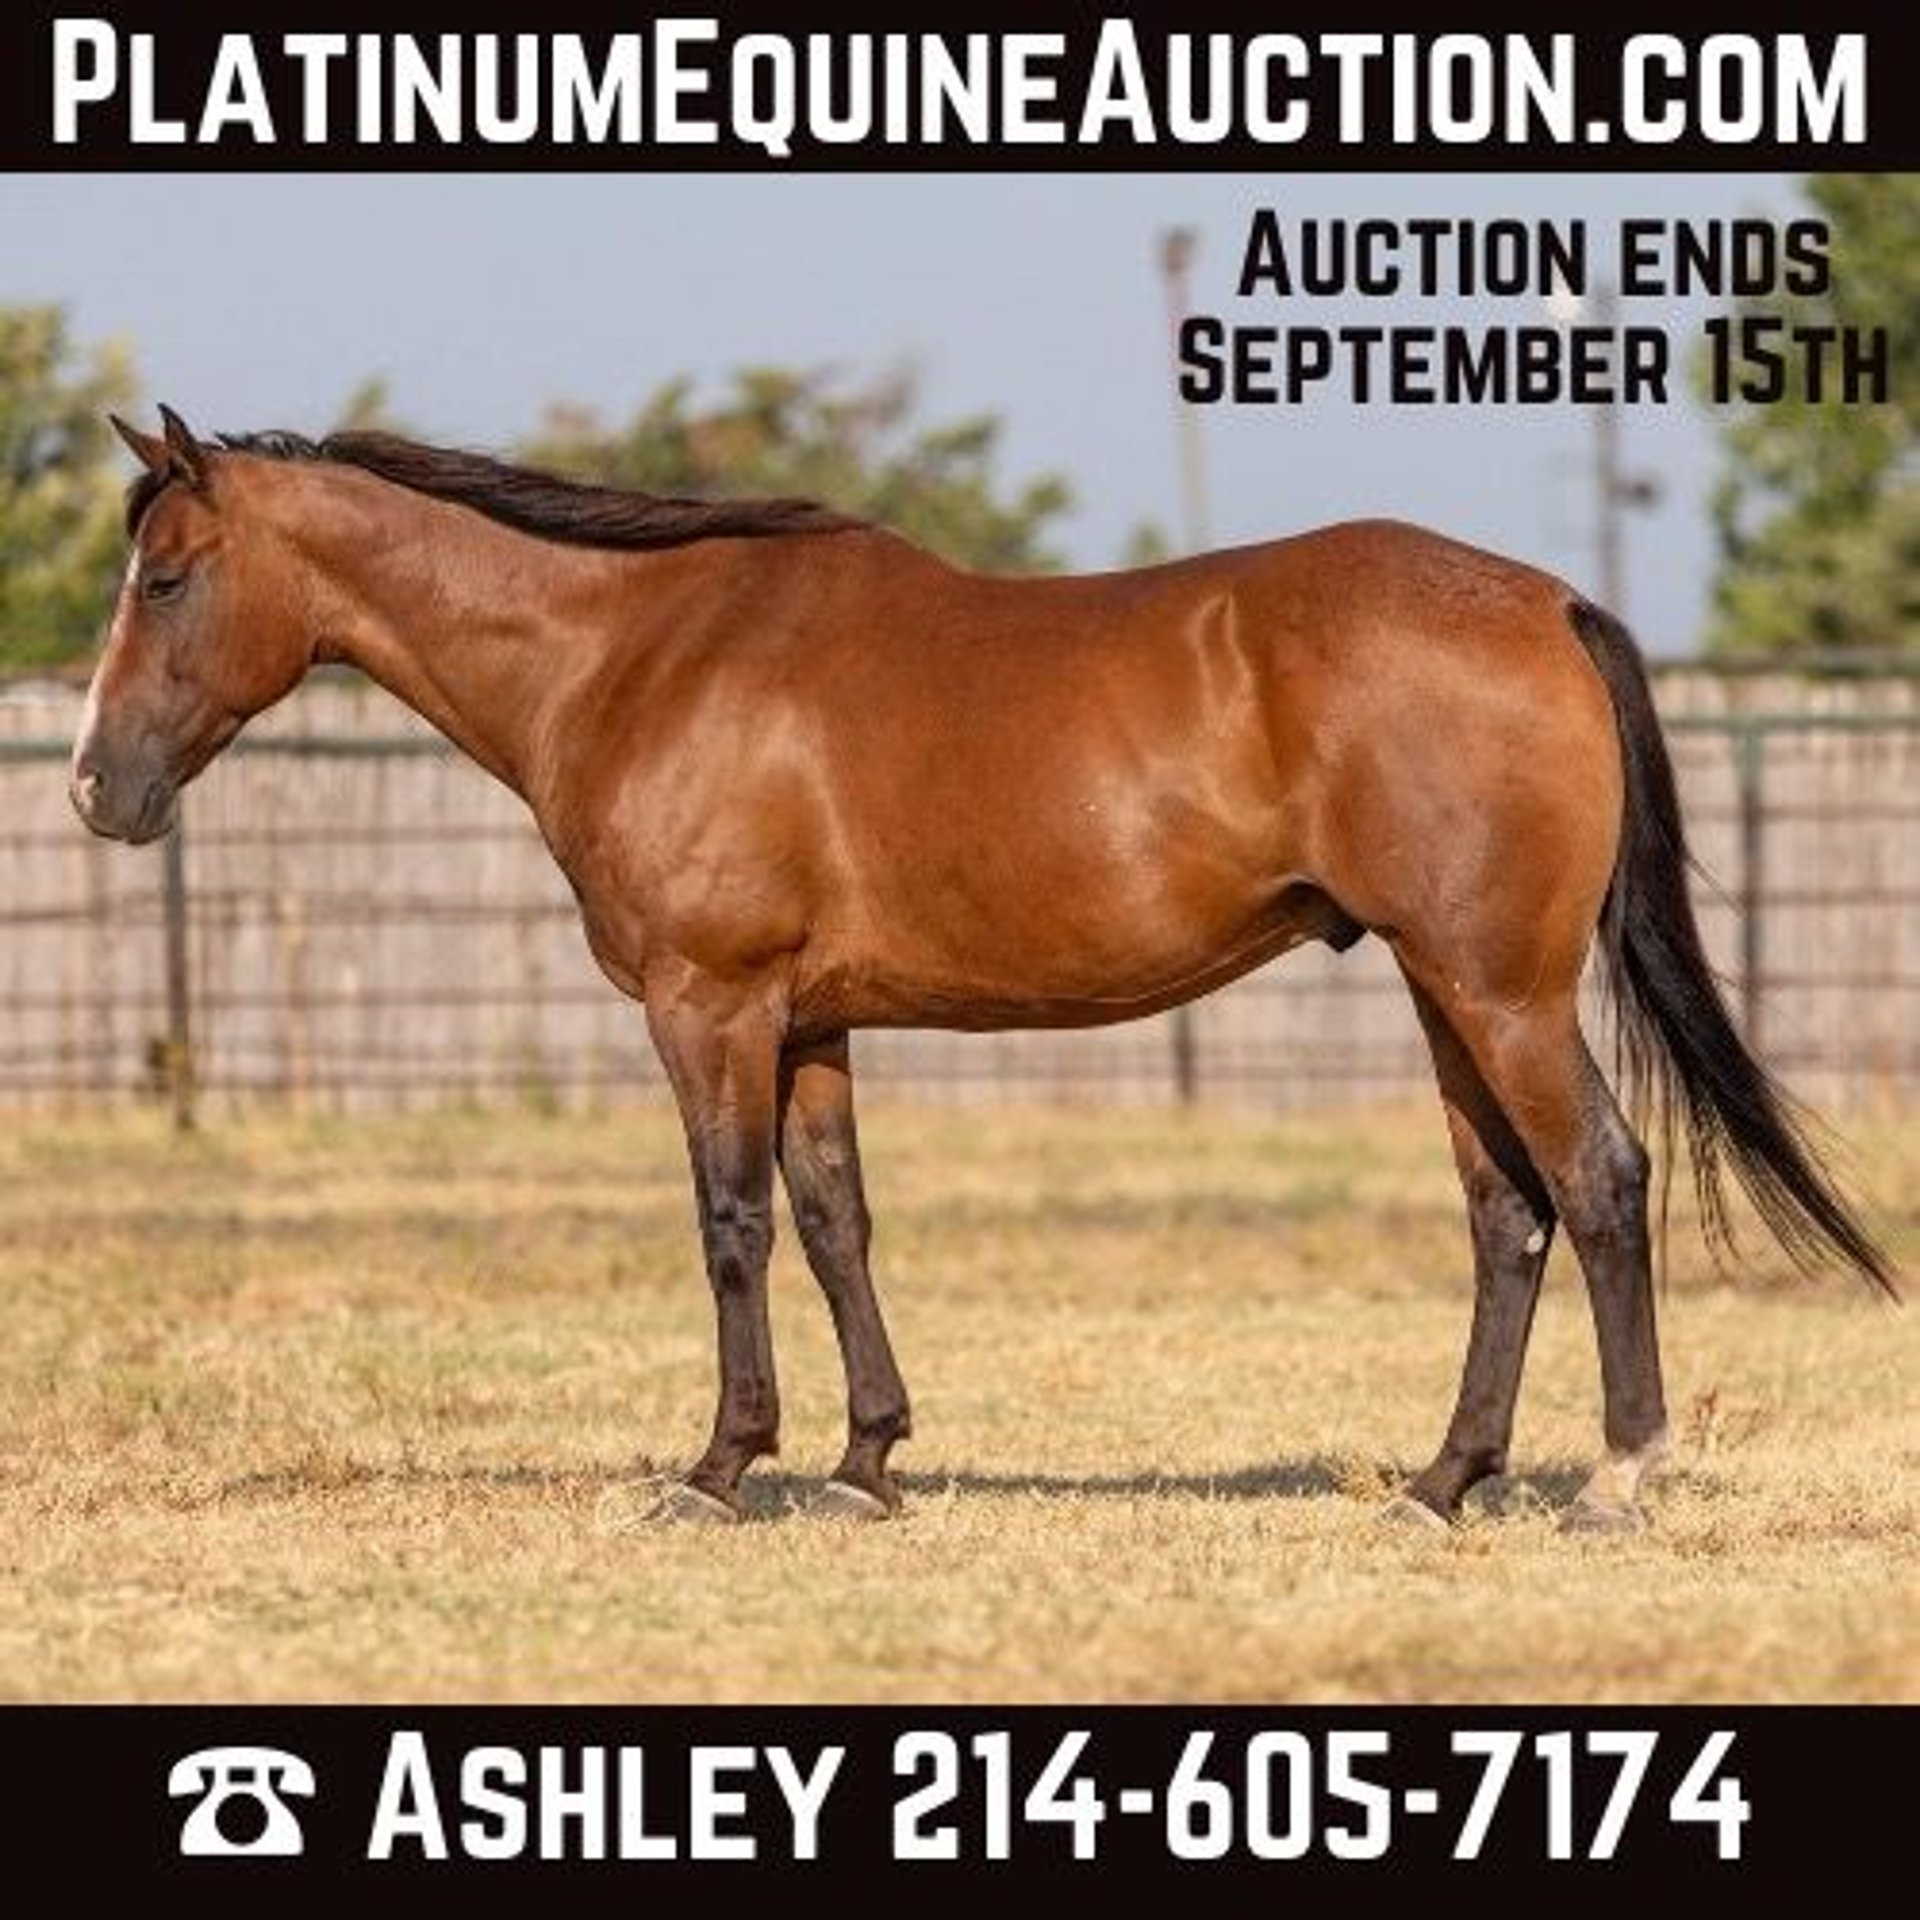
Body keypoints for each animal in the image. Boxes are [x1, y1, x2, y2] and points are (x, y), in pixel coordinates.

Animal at [71, 406, 1891, 1533]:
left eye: (167, 576)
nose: (96, 789)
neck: (639, 655)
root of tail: (1544, 604)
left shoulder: (709, 1007)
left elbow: (731, 1226)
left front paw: (721, 1466)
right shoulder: (806, 1024)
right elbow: (833, 1222)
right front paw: (868, 1458)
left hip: (1498, 990)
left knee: (1600, 1184)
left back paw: (1617, 1477)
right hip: (1446, 994)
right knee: (1507, 1216)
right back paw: (1446, 1482)